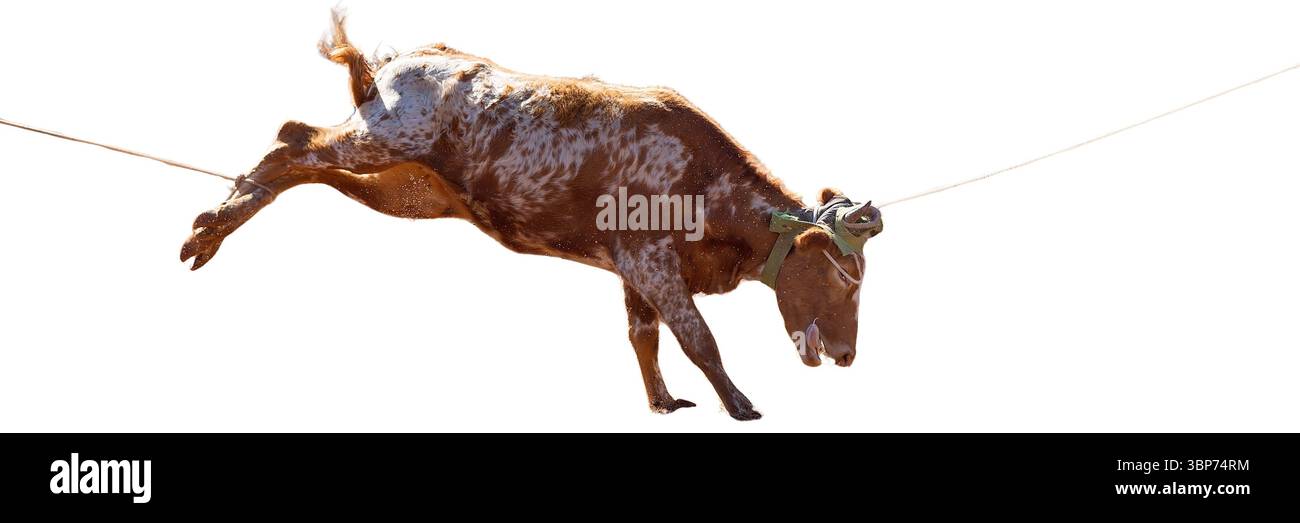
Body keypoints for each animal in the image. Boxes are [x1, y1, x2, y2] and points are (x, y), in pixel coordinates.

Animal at [180, 11, 884, 420]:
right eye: (844, 276)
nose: (849, 355)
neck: (706, 181)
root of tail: (402, 60)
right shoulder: (654, 261)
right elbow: (698, 337)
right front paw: (740, 404)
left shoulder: (634, 267)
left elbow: (644, 335)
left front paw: (661, 402)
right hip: (384, 139)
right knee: (292, 138)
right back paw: (210, 229)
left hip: (409, 190)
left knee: (310, 169)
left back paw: (215, 225)